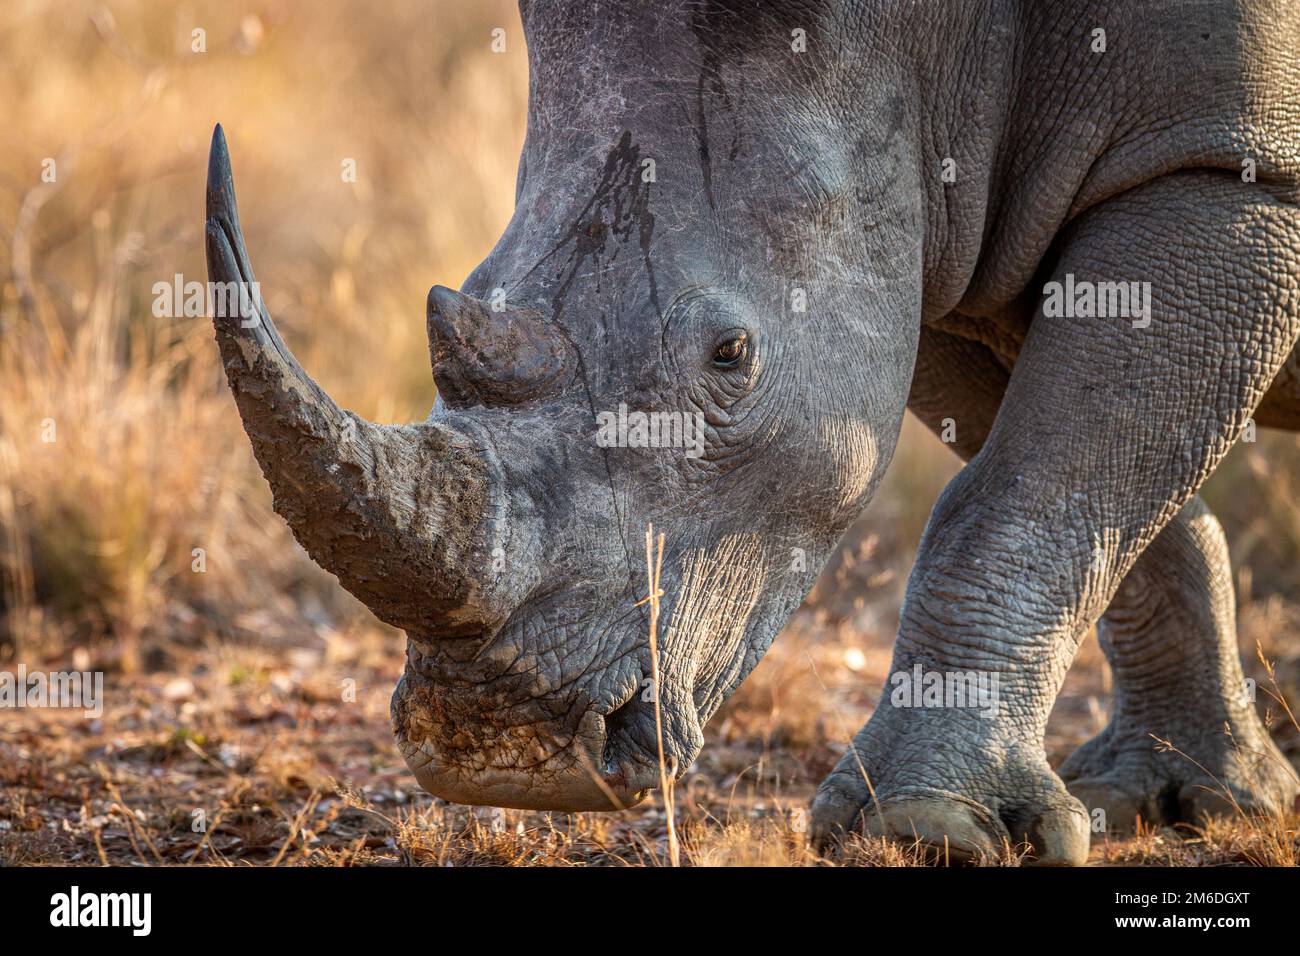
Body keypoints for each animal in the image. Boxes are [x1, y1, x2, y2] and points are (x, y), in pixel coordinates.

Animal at [203, 0, 1300, 865]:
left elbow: (1029, 492)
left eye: (730, 355)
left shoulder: (1230, 169)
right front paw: (1185, 797)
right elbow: (1106, 496)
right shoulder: (942, 238)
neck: (931, 35)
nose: (498, 754)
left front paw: (926, 830)